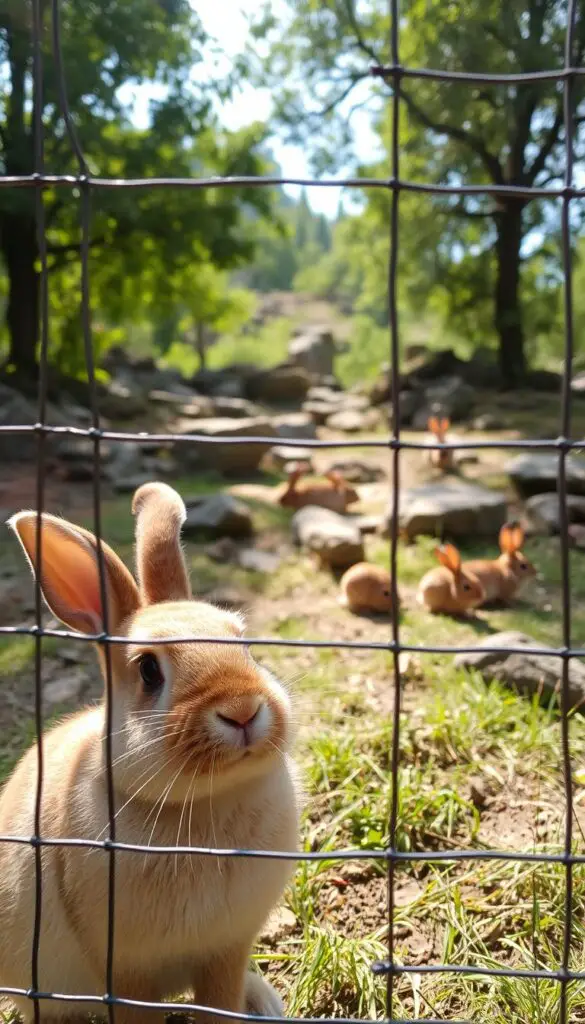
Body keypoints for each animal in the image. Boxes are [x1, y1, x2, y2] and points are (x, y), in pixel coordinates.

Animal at [1, 481, 299, 1024]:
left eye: (243, 642)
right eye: (148, 670)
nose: (242, 710)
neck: (206, 803)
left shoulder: (225, 951)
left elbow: (220, 1002)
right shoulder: (126, 970)